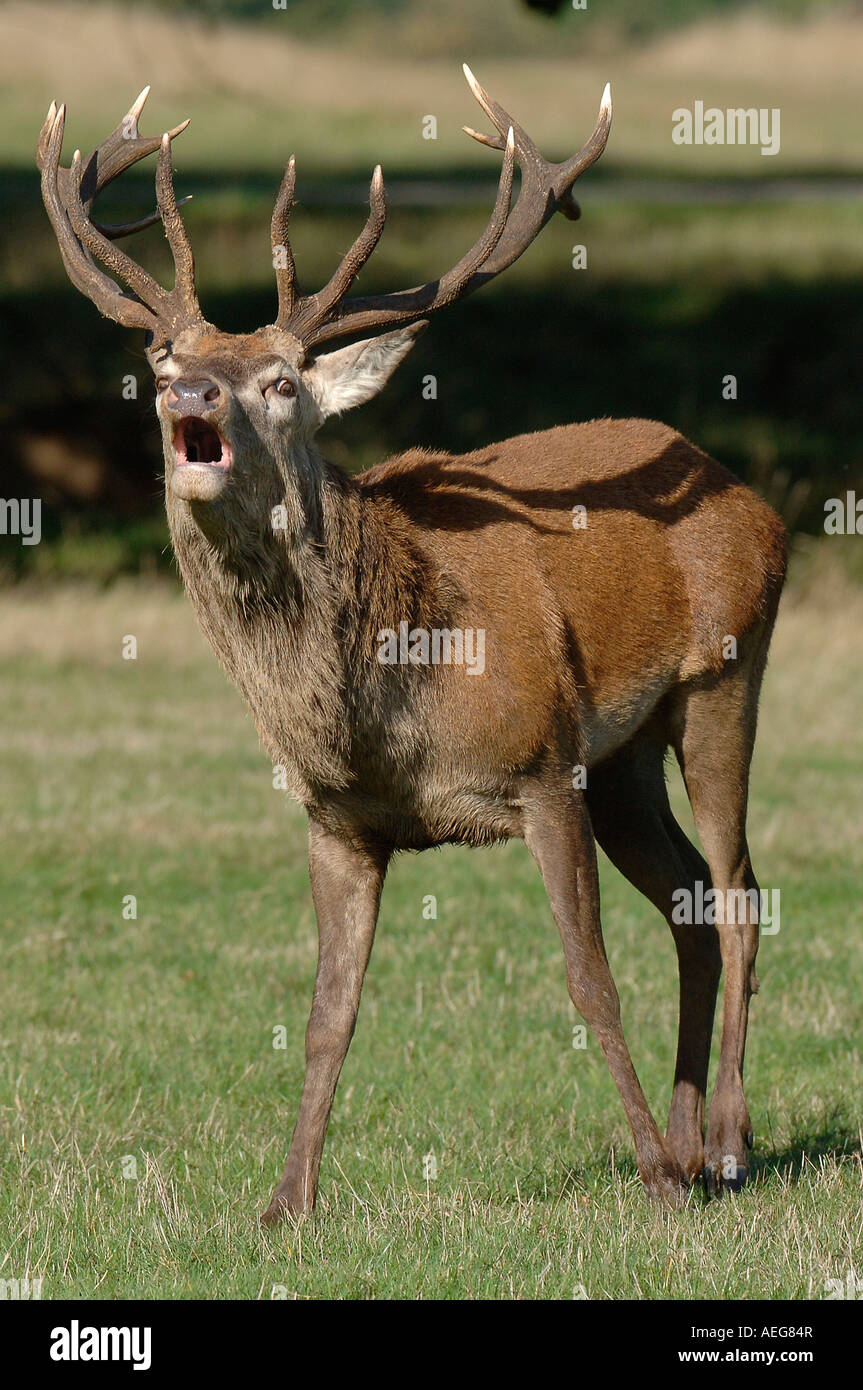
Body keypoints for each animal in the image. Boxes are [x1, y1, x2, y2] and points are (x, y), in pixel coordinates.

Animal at [37, 68, 787, 1224]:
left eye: (282, 382)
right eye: (167, 360)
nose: (189, 395)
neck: (383, 709)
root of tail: (749, 494)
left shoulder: (540, 765)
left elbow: (587, 980)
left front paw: (656, 1182)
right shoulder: (337, 818)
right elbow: (326, 1010)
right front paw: (285, 1202)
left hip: (722, 675)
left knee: (743, 893)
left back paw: (722, 1149)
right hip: (622, 761)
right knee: (694, 907)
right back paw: (690, 1137)